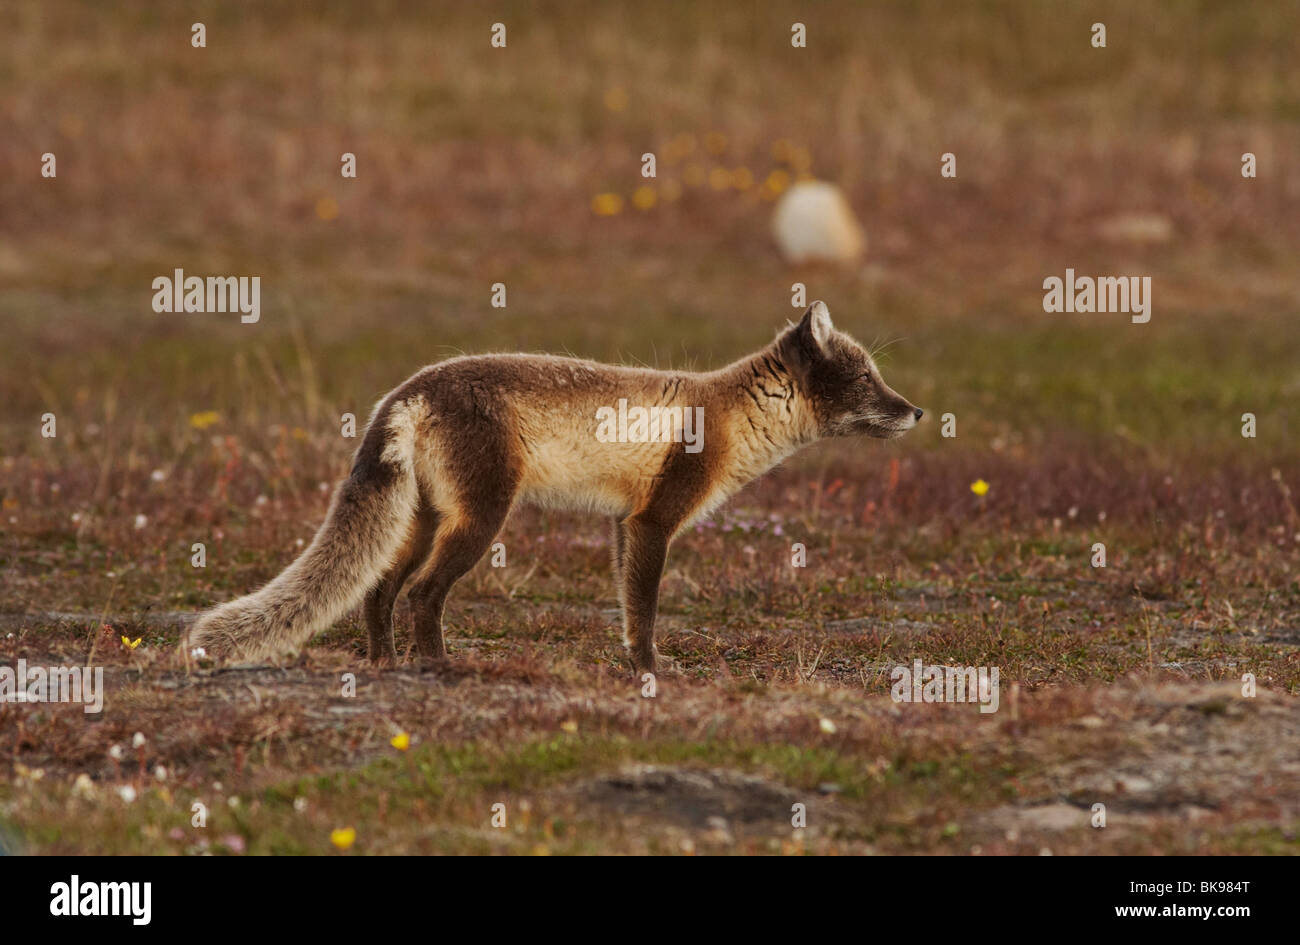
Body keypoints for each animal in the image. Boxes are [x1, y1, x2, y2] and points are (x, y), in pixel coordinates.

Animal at [186, 301, 923, 673]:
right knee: (422, 593)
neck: (734, 415)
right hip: (479, 519)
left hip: (425, 519)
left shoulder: (625, 522)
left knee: (379, 590)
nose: (916, 411)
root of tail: (406, 390)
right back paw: (439, 667)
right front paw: (653, 670)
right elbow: (646, 610)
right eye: (866, 378)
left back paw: (383, 664)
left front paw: (634, 663)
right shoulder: (654, 520)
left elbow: (627, 607)